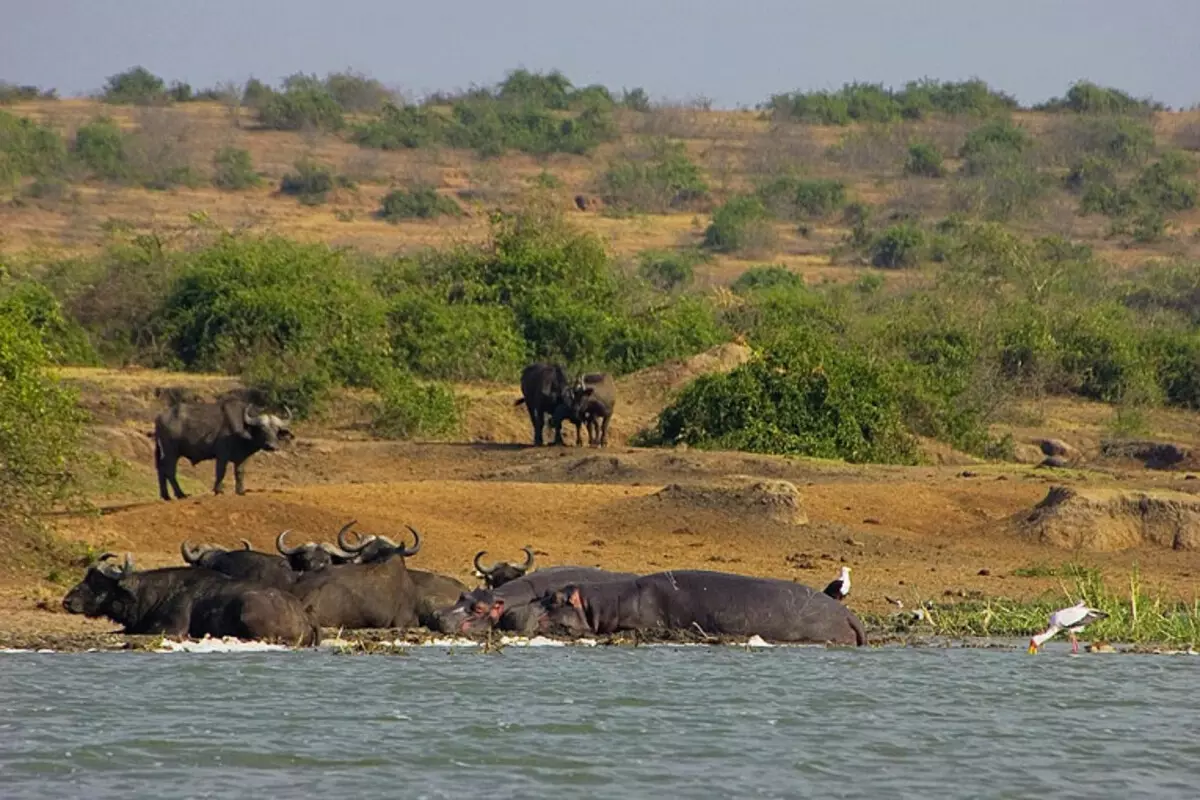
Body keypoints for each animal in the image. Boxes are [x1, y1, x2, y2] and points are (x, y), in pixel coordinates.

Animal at [153, 393, 291, 501]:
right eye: (262, 429)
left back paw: (166, 496)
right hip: (171, 452)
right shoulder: (222, 454)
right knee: (169, 470)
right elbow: (221, 472)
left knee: (161, 470)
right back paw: (180, 494)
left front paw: (240, 491)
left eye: (276, 430)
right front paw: (218, 490)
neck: (242, 428)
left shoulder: (242, 457)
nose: (272, 446)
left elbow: (239, 472)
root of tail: (160, 418)